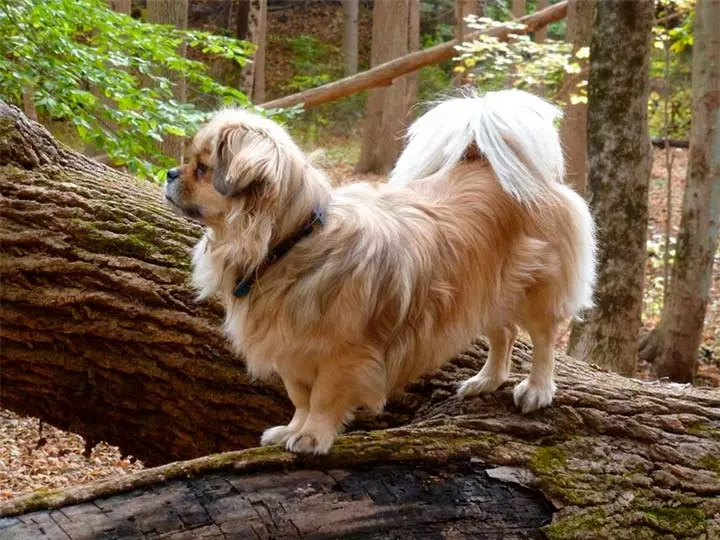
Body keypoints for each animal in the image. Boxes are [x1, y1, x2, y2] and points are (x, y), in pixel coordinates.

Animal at [163, 89, 596, 456]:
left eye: (202, 169)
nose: (170, 172)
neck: (290, 243)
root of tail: (492, 164)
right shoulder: (291, 352)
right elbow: (300, 398)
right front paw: (292, 428)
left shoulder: (342, 357)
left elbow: (322, 398)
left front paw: (312, 436)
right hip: (483, 289)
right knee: (503, 334)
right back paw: (486, 380)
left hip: (535, 289)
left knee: (543, 340)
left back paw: (537, 389)